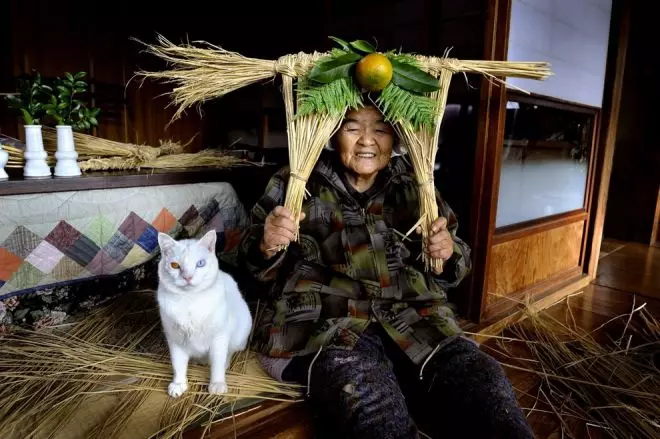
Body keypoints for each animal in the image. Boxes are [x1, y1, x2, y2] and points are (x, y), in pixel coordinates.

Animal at [156, 230, 254, 398]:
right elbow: (178, 364)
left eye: (200, 263)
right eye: (175, 265)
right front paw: (179, 384)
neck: (189, 301)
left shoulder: (219, 337)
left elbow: (217, 363)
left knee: (229, 352)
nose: (188, 277)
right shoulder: (175, 340)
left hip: (240, 333)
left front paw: (217, 384)